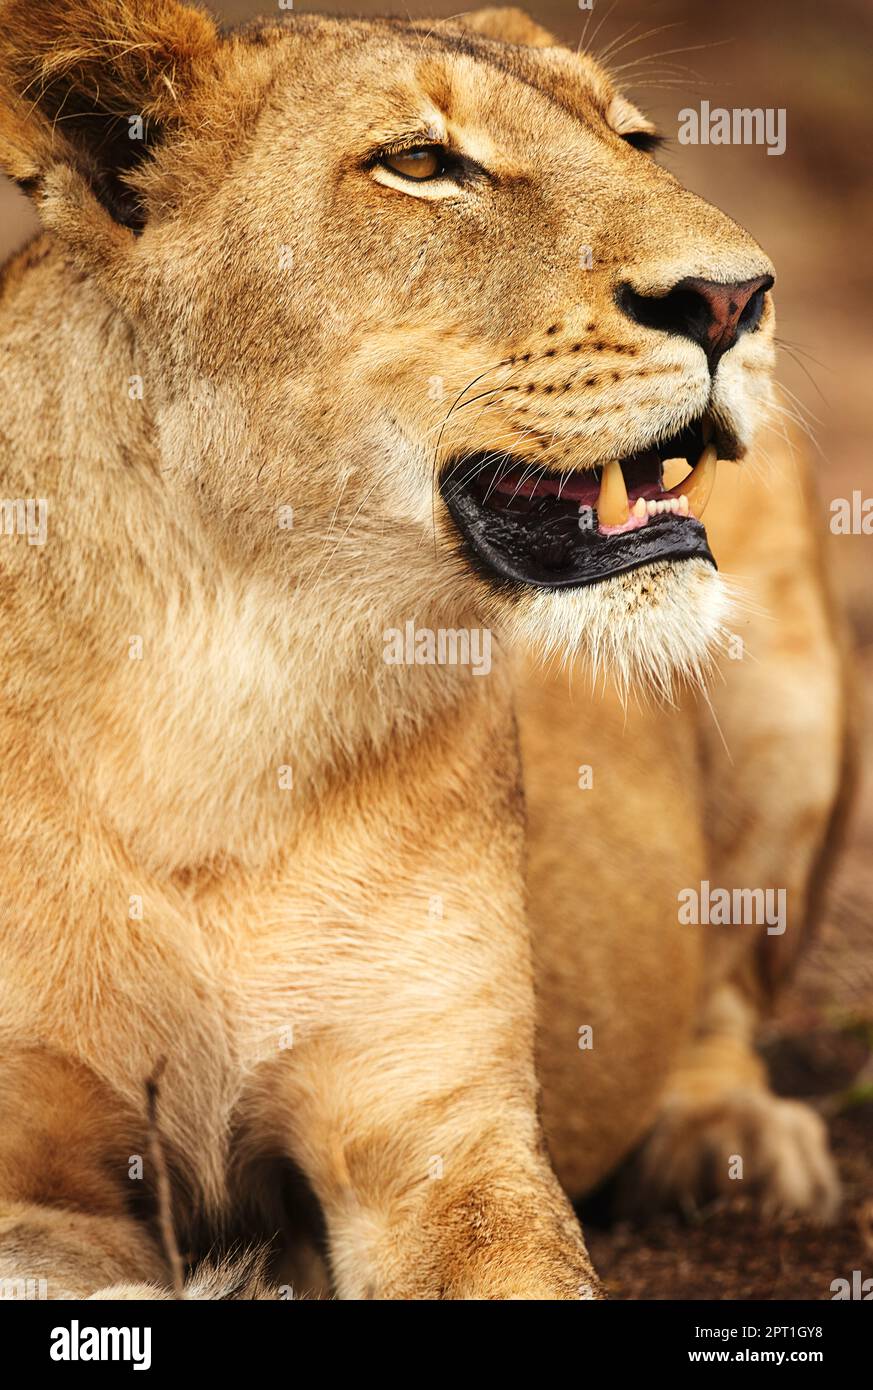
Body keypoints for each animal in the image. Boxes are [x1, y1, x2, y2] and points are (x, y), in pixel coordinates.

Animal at [0, 1, 851, 1300]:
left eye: (636, 140)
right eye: (419, 163)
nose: (737, 296)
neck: (236, 667)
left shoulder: (442, 1133)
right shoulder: (37, 1180)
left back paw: (730, 1140)